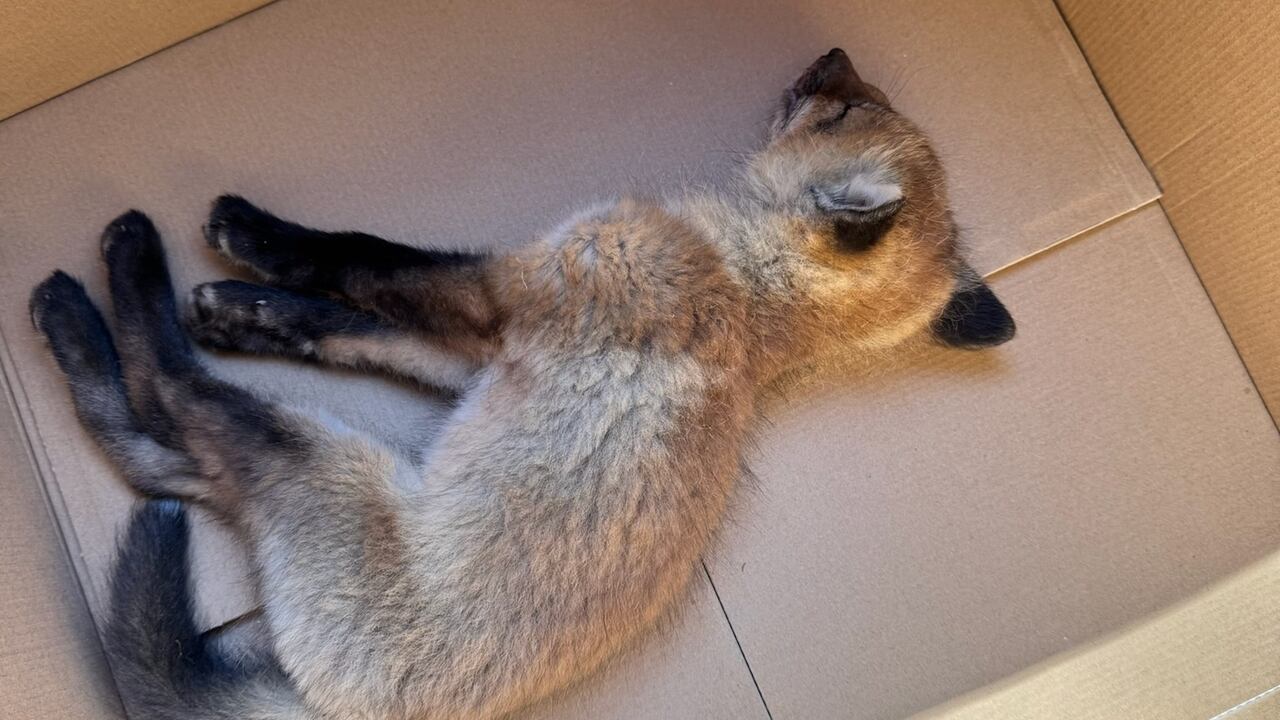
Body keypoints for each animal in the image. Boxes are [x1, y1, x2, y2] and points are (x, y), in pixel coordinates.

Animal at [29, 49, 1013, 720]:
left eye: (839, 107)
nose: (832, 51)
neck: (741, 288)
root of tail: (334, 709)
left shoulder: (496, 298)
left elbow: (357, 257)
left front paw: (247, 242)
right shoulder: (481, 353)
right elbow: (345, 327)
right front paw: (251, 314)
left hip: (310, 453)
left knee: (168, 398)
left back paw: (107, 283)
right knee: (162, 459)